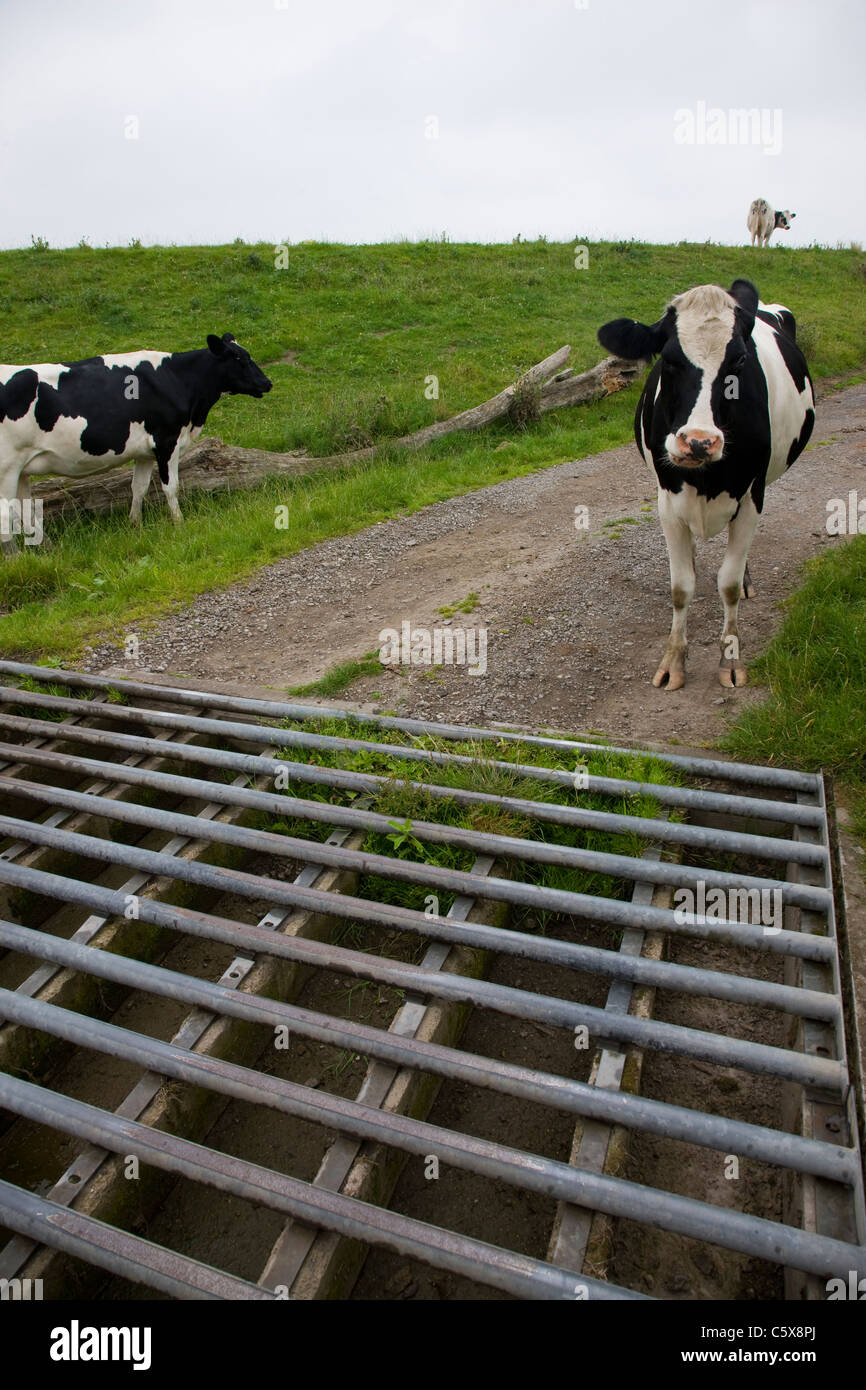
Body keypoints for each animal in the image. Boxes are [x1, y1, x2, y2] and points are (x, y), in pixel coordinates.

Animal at [0, 333, 272, 551]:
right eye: (239, 358)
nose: (267, 383)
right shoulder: (167, 441)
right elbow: (170, 487)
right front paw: (179, 523)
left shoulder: (144, 451)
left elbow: (138, 488)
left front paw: (135, 525)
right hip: (7, 468)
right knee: (6, 513)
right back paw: (14, 557)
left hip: (22, 469)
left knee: (25, 509)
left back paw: (46, 547)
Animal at [597, 278, 814, 689]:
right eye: (669, 359)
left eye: (740, 362)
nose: (698, 441)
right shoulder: (667, 501)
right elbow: (681, 586)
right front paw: (673, 662)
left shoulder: (752, 496)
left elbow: (727, 582)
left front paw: (730, 661)